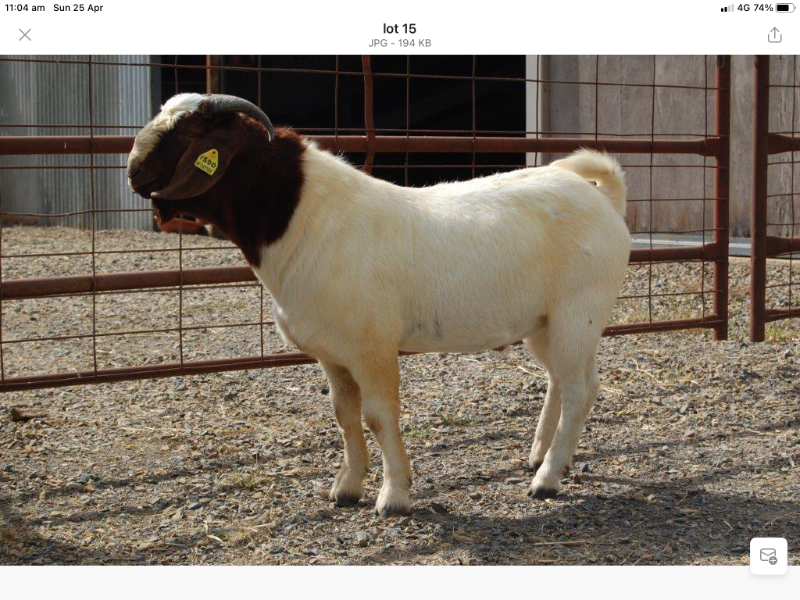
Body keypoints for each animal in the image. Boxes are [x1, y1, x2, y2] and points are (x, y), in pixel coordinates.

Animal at [128, 93, 631, 517]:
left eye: (192, 132)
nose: (133, 172)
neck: (308, 217)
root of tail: (605, 197)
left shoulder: (372, 348)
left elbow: (378, 416)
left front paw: (393, 496)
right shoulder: (333, 352)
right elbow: (344, 414)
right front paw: (347, 487)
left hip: (578, 313)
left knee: (581, 388)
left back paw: (546, 479)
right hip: (544, 322)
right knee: (559, 381)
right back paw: (540, 457)